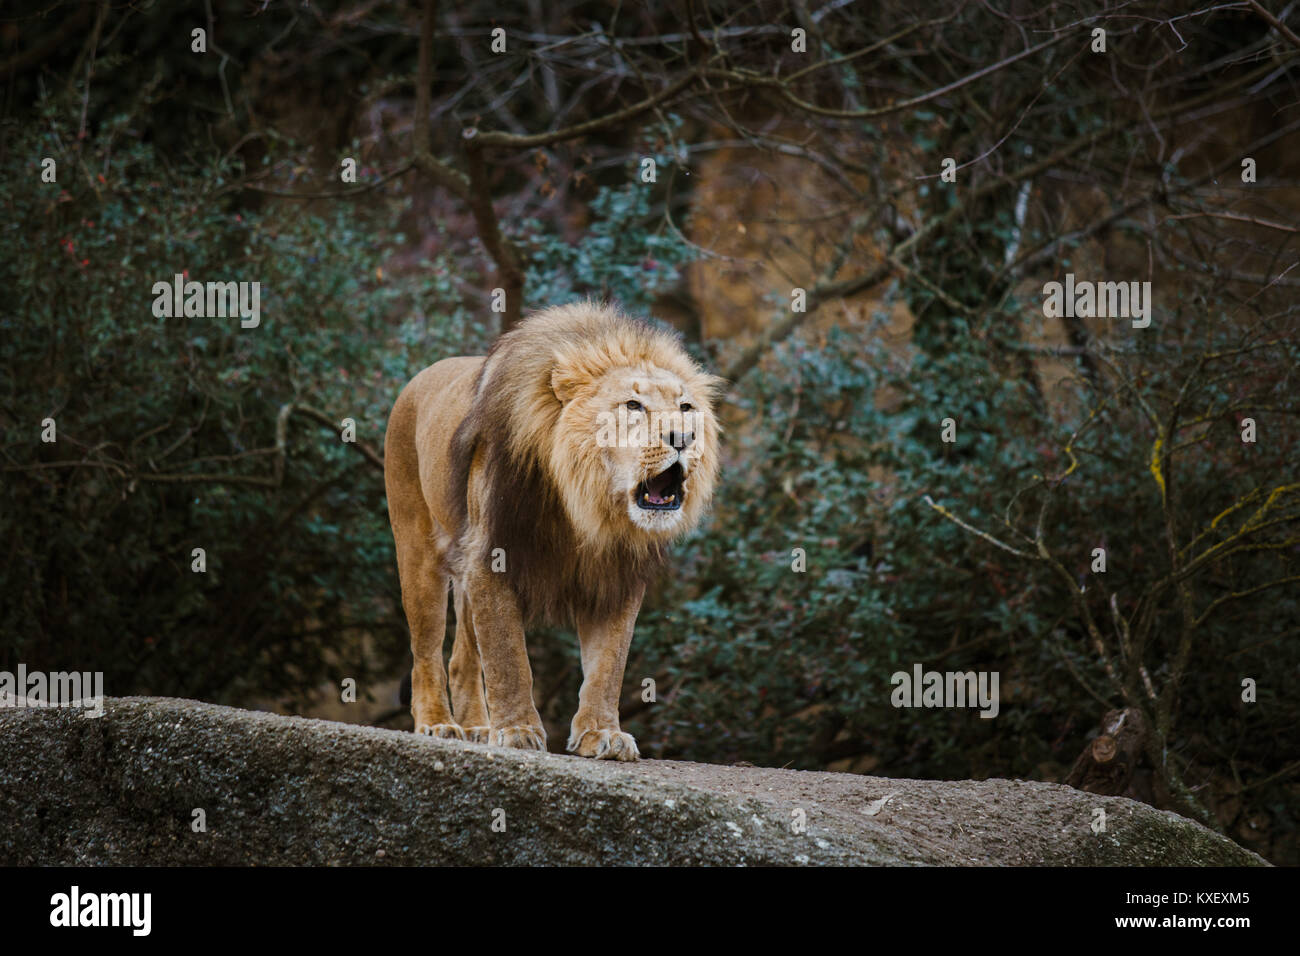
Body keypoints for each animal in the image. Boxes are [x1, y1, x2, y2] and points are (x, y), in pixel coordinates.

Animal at [384, 301, 721, 760]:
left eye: (686, 408)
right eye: (633, 406)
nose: (683, 436)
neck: (585, 501)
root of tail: (421, 376)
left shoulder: (618, 576)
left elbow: (608, 665)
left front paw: (602, 734)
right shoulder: (492, 556)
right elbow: (508, 657)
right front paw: (518, 731)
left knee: (462, 659)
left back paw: (476, 727)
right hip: (419, 554)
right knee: (426, 652)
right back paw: (438, 722)